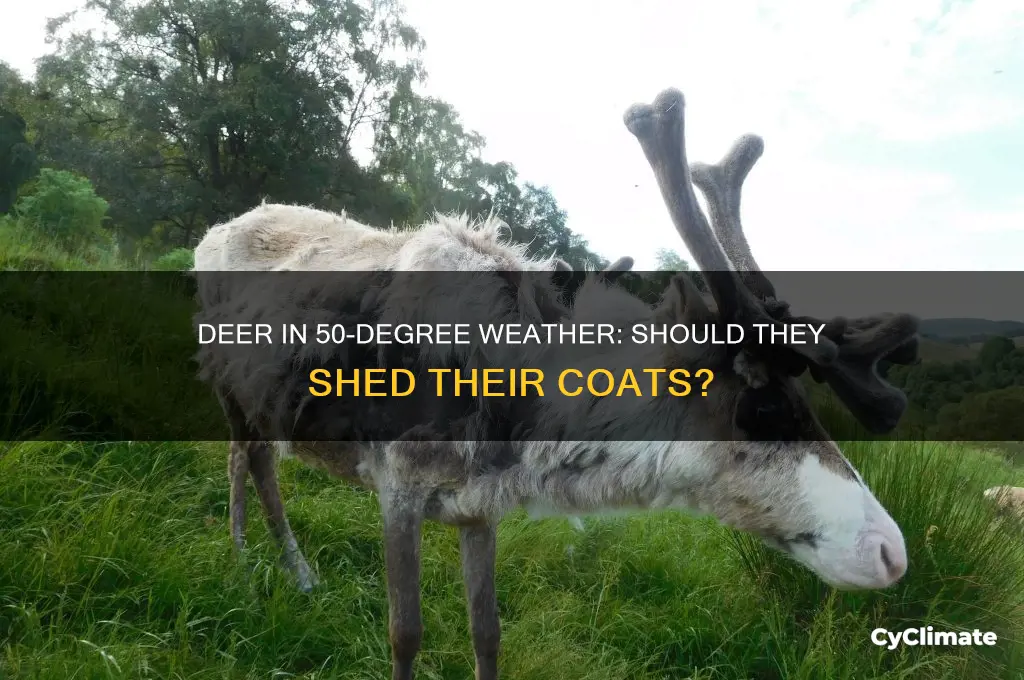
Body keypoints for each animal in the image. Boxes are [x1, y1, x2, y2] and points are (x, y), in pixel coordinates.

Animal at [192, 87, 920, 680]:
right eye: (762, 407)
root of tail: (210, 232)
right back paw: (249, 562)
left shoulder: (476, 504)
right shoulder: (397, 482)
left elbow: (488, 636)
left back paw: (295, 573)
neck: (513, 426)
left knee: (259, 460)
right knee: (241, 458)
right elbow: (406, 634)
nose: (891, 552)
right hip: (225, 385)